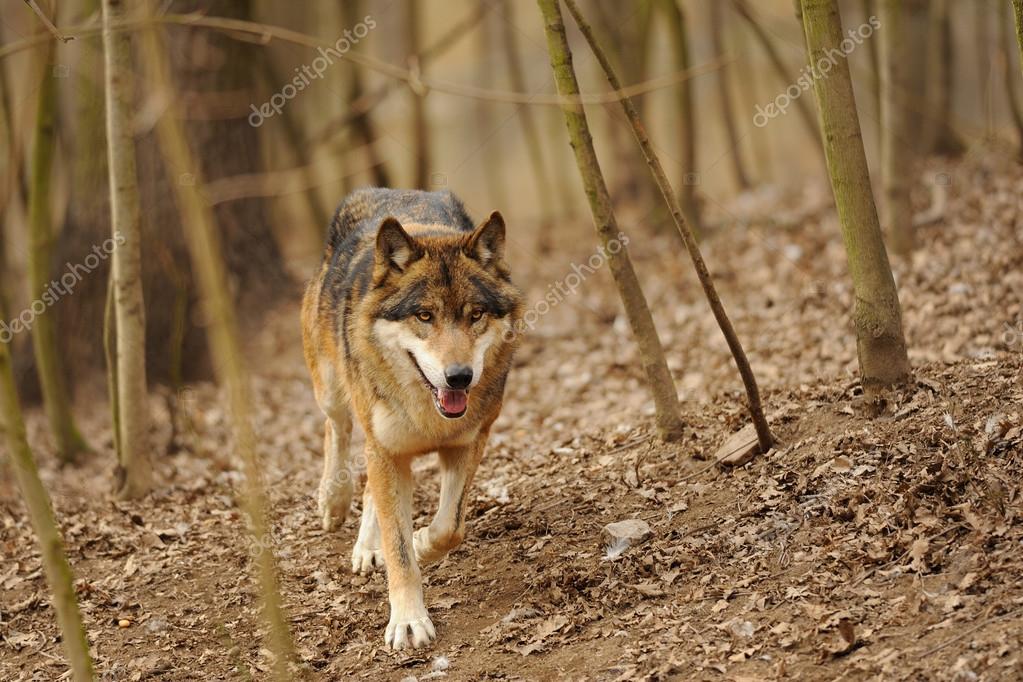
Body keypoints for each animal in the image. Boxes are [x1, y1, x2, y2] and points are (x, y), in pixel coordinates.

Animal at [301, 188, 523, 650]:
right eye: (424, 316)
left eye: (475, 314)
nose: (459, 376)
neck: (429, 416)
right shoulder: (386, 450)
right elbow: (399, 551)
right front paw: (407, 622)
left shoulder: (468, 443)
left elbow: (449, 528)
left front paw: (421, 542)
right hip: (332, 392)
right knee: (337, 430)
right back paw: (333, 502)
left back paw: (368, 547)